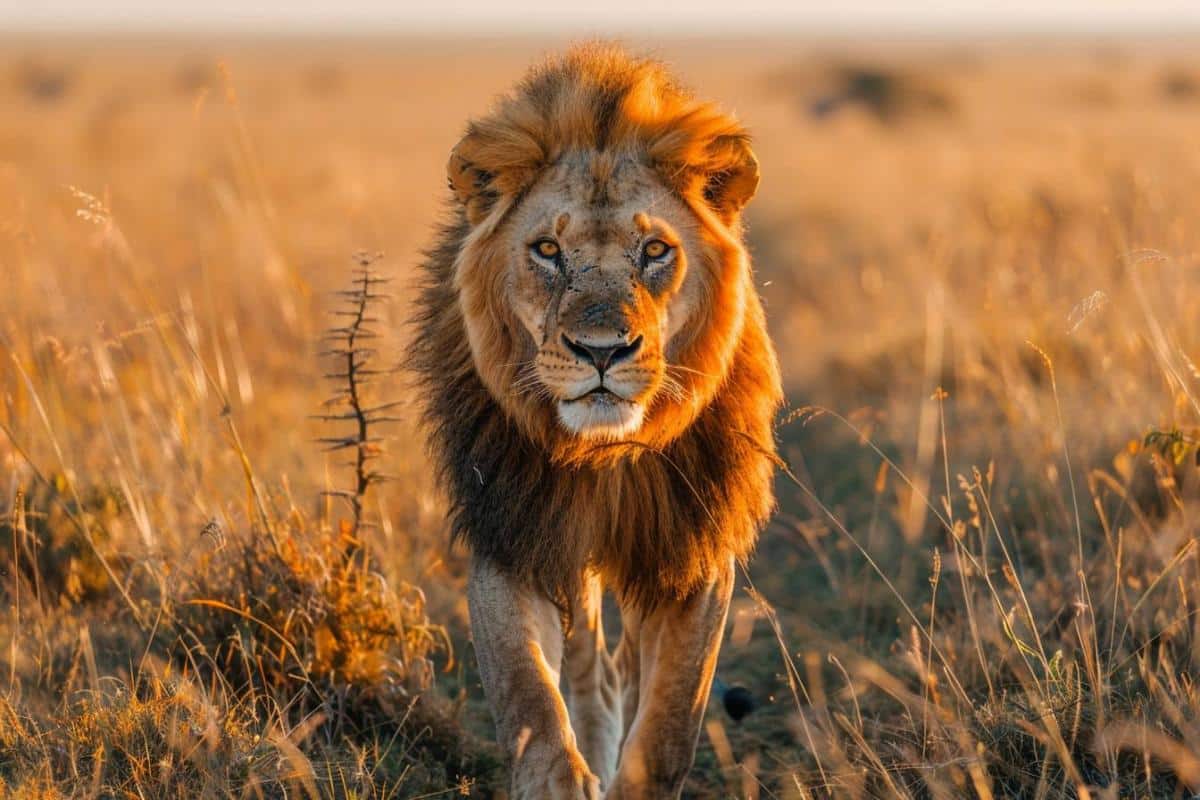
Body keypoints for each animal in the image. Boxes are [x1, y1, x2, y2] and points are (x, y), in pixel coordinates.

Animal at [409, 44, 782, 799]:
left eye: (656, 251)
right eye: (548, 251)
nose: (602, 351)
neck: (605, 455)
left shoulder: (690, 547)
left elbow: (669, 720)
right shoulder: (514, 530)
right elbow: (527, 693)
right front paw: (558, 780)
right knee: (591, 667)